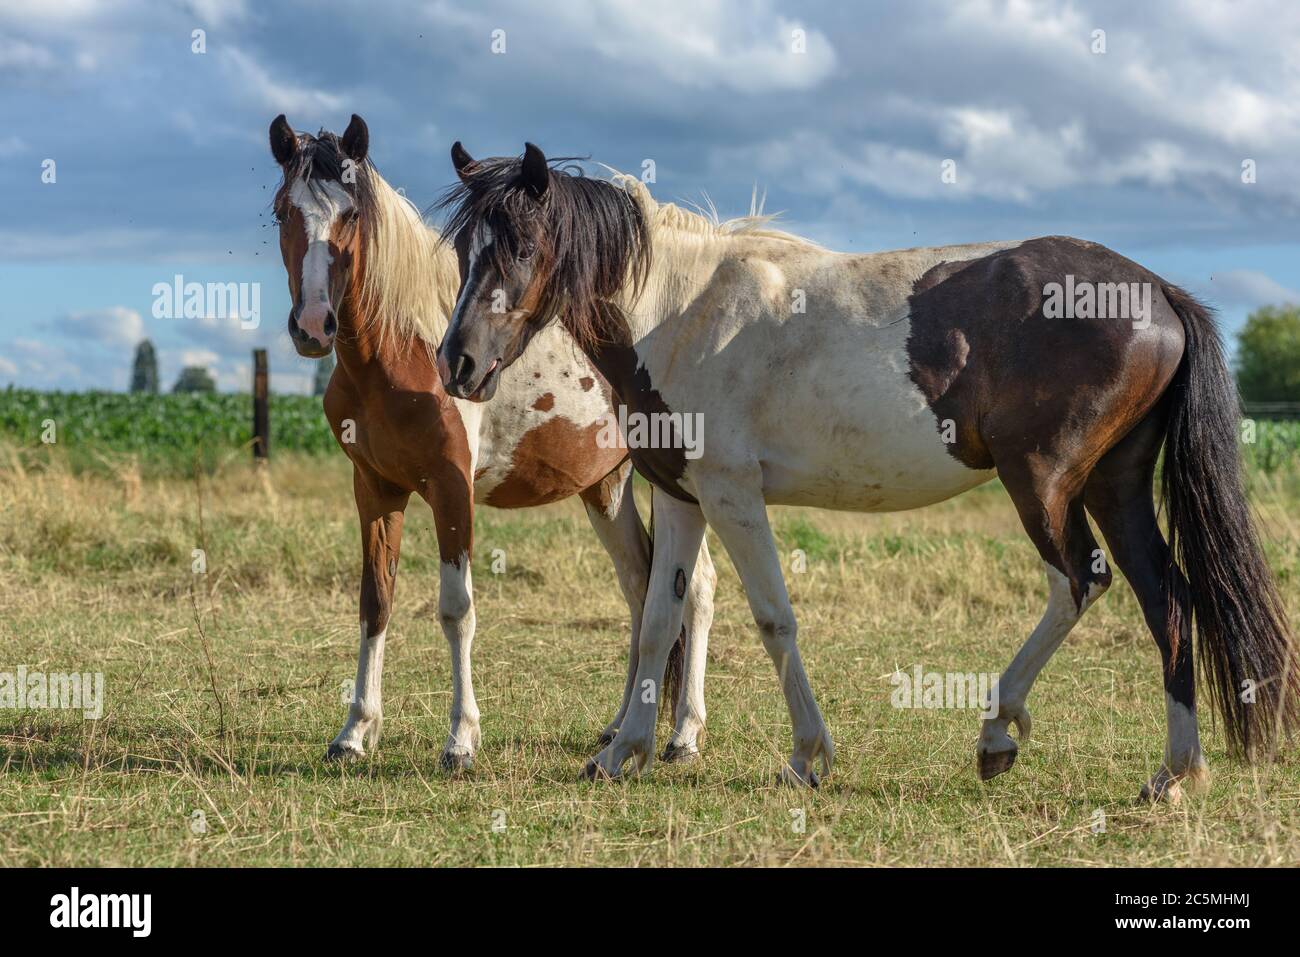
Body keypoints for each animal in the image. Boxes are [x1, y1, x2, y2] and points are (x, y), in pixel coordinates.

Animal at [267, 115, 716, 770]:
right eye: (283, 212)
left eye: (349, 214)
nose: (313, 326)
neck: (400, 352)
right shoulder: (374, 489)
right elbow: (375, 602)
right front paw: (354, 732)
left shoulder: (451, 489)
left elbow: (457, 610)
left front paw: (461, 740)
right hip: (605, 489)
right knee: (640, 585)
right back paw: (618, 728)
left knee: (696, 588)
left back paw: (683, 734)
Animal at [433, 141, 1299, 800]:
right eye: (461, 251)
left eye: (520, 246)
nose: (457, 362)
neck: (680, 309)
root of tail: (1157, 291)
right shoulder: (681, 495)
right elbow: (657, 617)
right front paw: (623, 752)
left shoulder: (731, 492)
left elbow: (773, 617)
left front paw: (807, 756)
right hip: (1115, 486)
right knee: (1169, 602)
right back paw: (1173, 772)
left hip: (1046, 484)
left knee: (1079, 582)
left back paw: (999, 732)